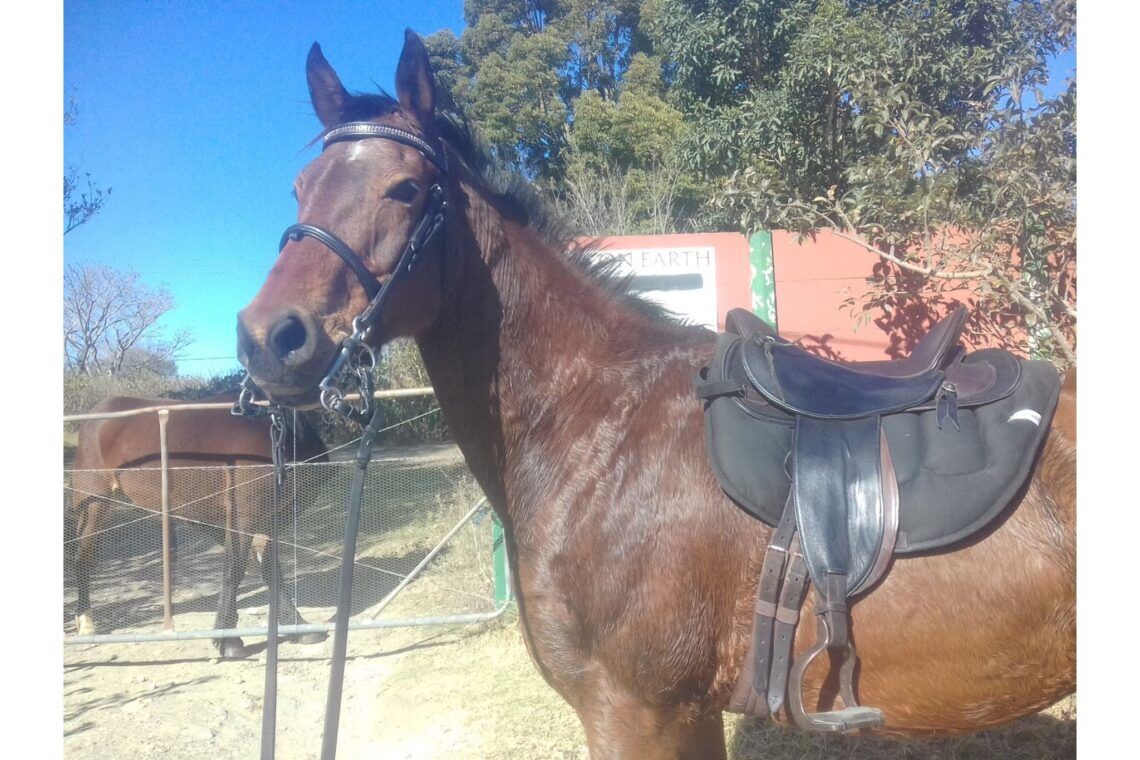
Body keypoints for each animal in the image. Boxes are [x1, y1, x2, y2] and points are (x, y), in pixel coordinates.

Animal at [68, 392, 330, 658]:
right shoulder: (243, 516)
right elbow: (233, 570)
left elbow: (271, 571)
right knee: (83, 556)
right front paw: (227, 641)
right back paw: (86, 621)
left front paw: (298, 627)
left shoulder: (272, 519)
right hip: (93, 500)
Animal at [234, 31, 1075, 758]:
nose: (268, 337)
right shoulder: (680, 714)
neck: (597, 427)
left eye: (406, 189)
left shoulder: (637, 710)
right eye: (301, 188)